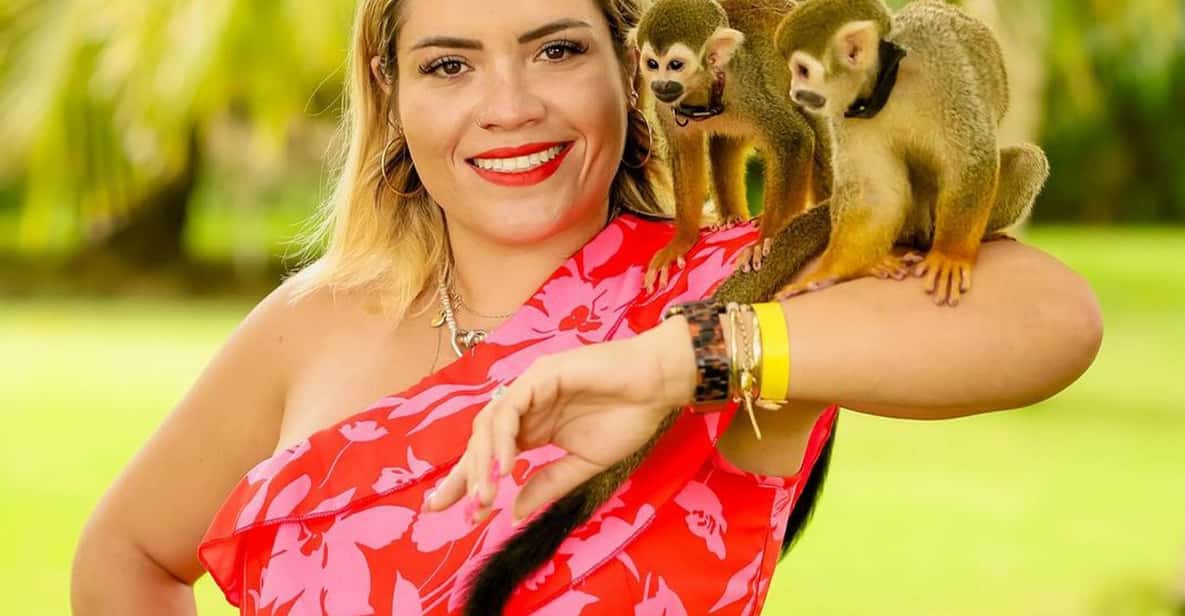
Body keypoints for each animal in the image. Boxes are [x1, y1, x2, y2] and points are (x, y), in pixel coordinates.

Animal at [630, 0, 834, 292]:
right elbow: (685, 155)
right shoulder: (666, 108)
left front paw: (767, 239)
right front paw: (682, 240)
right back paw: (730, 218)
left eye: (675, 65)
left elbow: (794, 140)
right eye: (652, 63)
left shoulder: (749, 88)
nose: (660, 84)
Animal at [771, 0, 1050, 306]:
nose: (794, 92)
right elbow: (875, 194)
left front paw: (950, 255)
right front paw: (827, 273)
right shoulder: (847, 110)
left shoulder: (945, 68)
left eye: (802, 71)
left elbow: (971, 159)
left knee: (1027, 161)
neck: (889, 82)